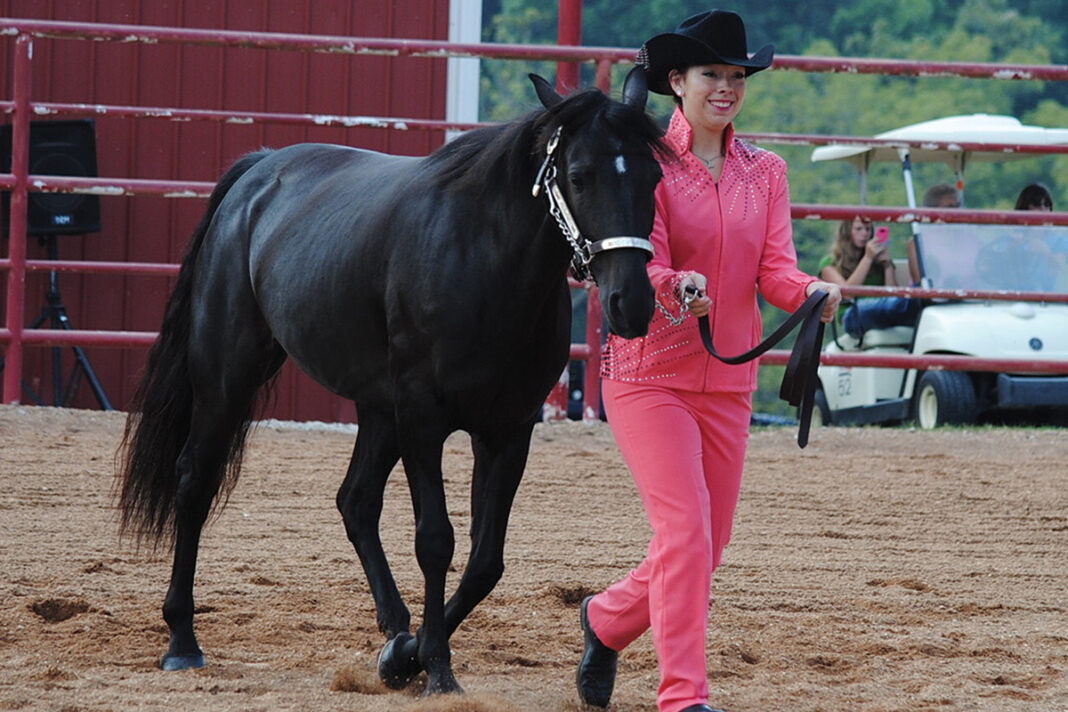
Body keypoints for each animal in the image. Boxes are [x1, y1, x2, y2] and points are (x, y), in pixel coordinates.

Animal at [117, 68, 664, 696]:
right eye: (578, 176)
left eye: (653, 176)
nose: (631, 303)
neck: (482, 261)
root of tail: (258, 172)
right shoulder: (422, 418)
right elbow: (436, 541)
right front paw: (437, 669)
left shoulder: (508, 429)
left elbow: (485, 560)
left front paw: (409, 653)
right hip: (227, 374)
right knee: (194, 481)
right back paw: (182, 640)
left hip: (377, 409)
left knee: (355, 501)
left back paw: (395, 627)